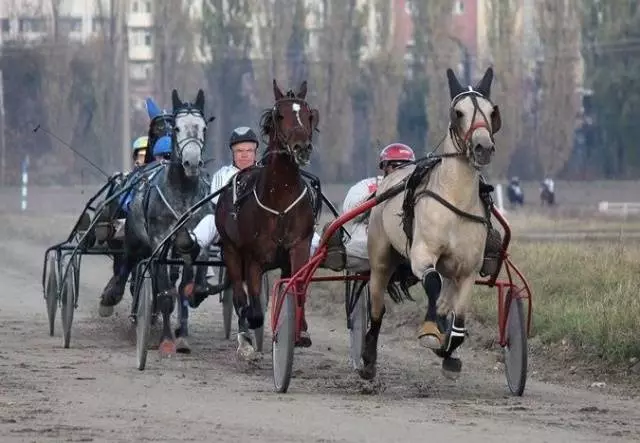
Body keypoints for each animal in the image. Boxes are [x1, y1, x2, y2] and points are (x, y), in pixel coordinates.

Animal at [215, 78, 320, 360]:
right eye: (279, 115)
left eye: (309, 115)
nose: (302, 148)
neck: (280, 202)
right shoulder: (254, 258)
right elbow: (253, 309)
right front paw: (252, 333)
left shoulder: (298, 248)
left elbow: (297, 290)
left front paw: (300, 332)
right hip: (231, 250)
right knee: (239, 295)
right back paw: (245, 339)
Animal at [360, 67, 500, 380]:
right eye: (458, 112)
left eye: (491, 111)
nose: (483, 147)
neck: (456, 200)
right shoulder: (422, 254)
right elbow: (432, 281)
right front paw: (429, 332)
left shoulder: (468, 268)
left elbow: (459, 318)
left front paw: (449, 349)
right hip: (380, 257)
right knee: (376, 307)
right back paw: (368, 358)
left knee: (446, 300)